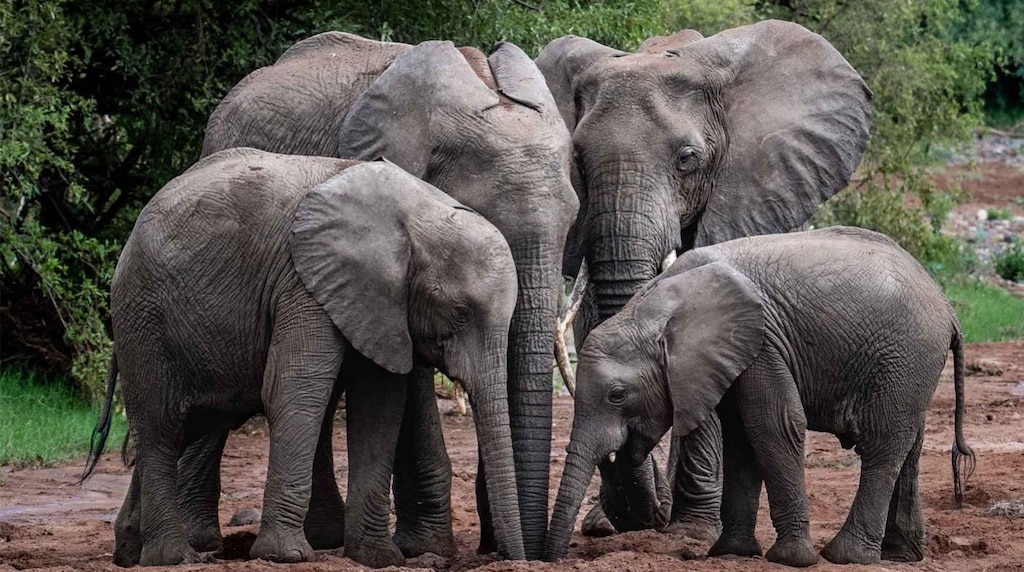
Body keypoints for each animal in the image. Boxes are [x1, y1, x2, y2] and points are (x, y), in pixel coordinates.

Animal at [83, 149, 525, 566]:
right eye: (459, 312)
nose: (510, 558)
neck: (418, 211)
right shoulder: (304, 281)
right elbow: (296, 388)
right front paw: (285, 556)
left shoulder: (377, 302)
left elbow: (379, 406)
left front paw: (377, 558)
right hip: (143, 316)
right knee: (162, 424)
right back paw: (174, 558)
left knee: (192, 423)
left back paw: (130, 552)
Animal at [546, 226, 975, 566]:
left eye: (618, 395)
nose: (556, 558)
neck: (656, 306)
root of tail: (948, 308)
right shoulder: (730, 356)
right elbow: (740, 437)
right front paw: (731, 553)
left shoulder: (763, 342)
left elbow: (776, 426)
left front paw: (790, 560)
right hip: (910, 367)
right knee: (909, 448)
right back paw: (899, 557)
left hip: (907, 355)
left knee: (882, 446)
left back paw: (847, 557)